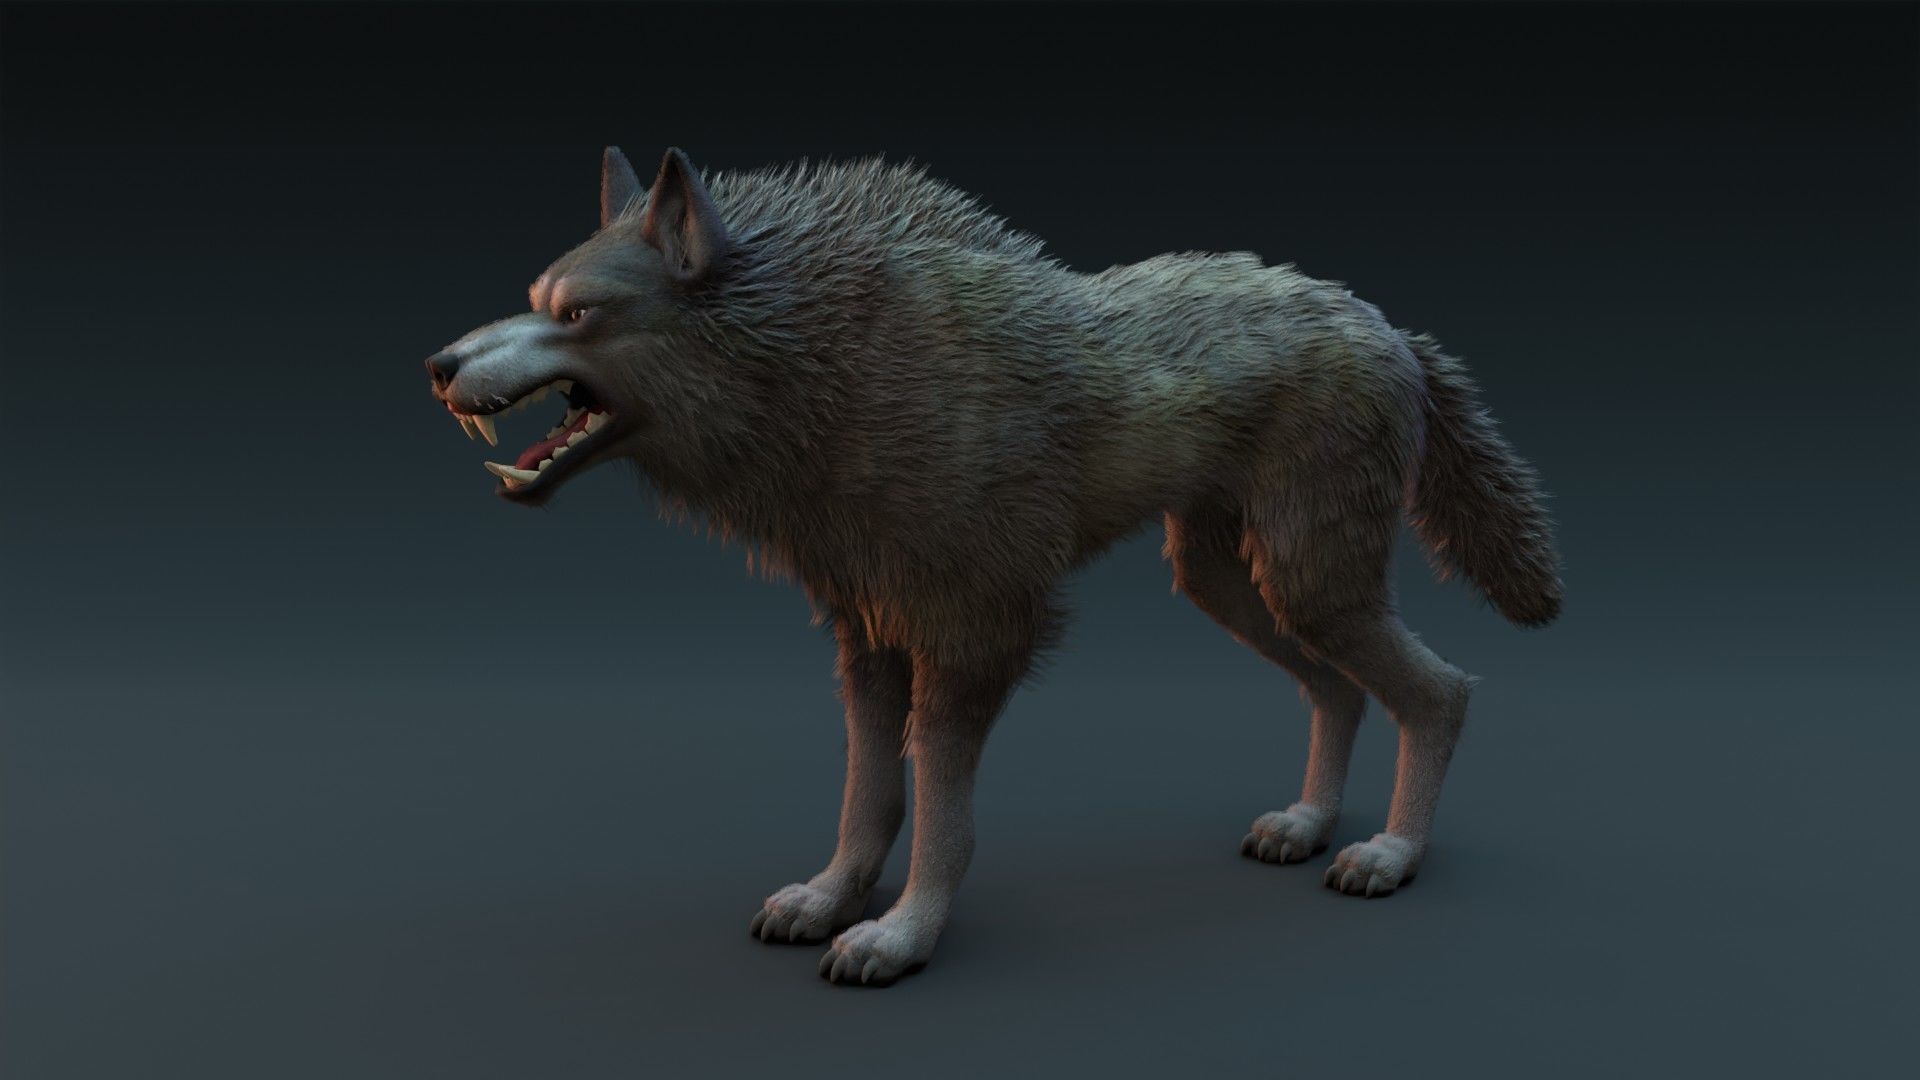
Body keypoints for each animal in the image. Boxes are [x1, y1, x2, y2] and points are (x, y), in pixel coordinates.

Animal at [424, 147, 1562, 986]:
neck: (822, 368)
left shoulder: (975, 630)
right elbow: (869, 792)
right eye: (533, 298)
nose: (437, 364)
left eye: (576, 314)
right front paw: (833, 897)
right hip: (1228, 581)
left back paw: (1390, 854)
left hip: (1309, 577)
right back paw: (1310, 825)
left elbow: (940, 812)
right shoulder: (867, 634)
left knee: (1440, 692)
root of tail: (1391, 326)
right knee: (1340, 689)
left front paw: (903, 934)